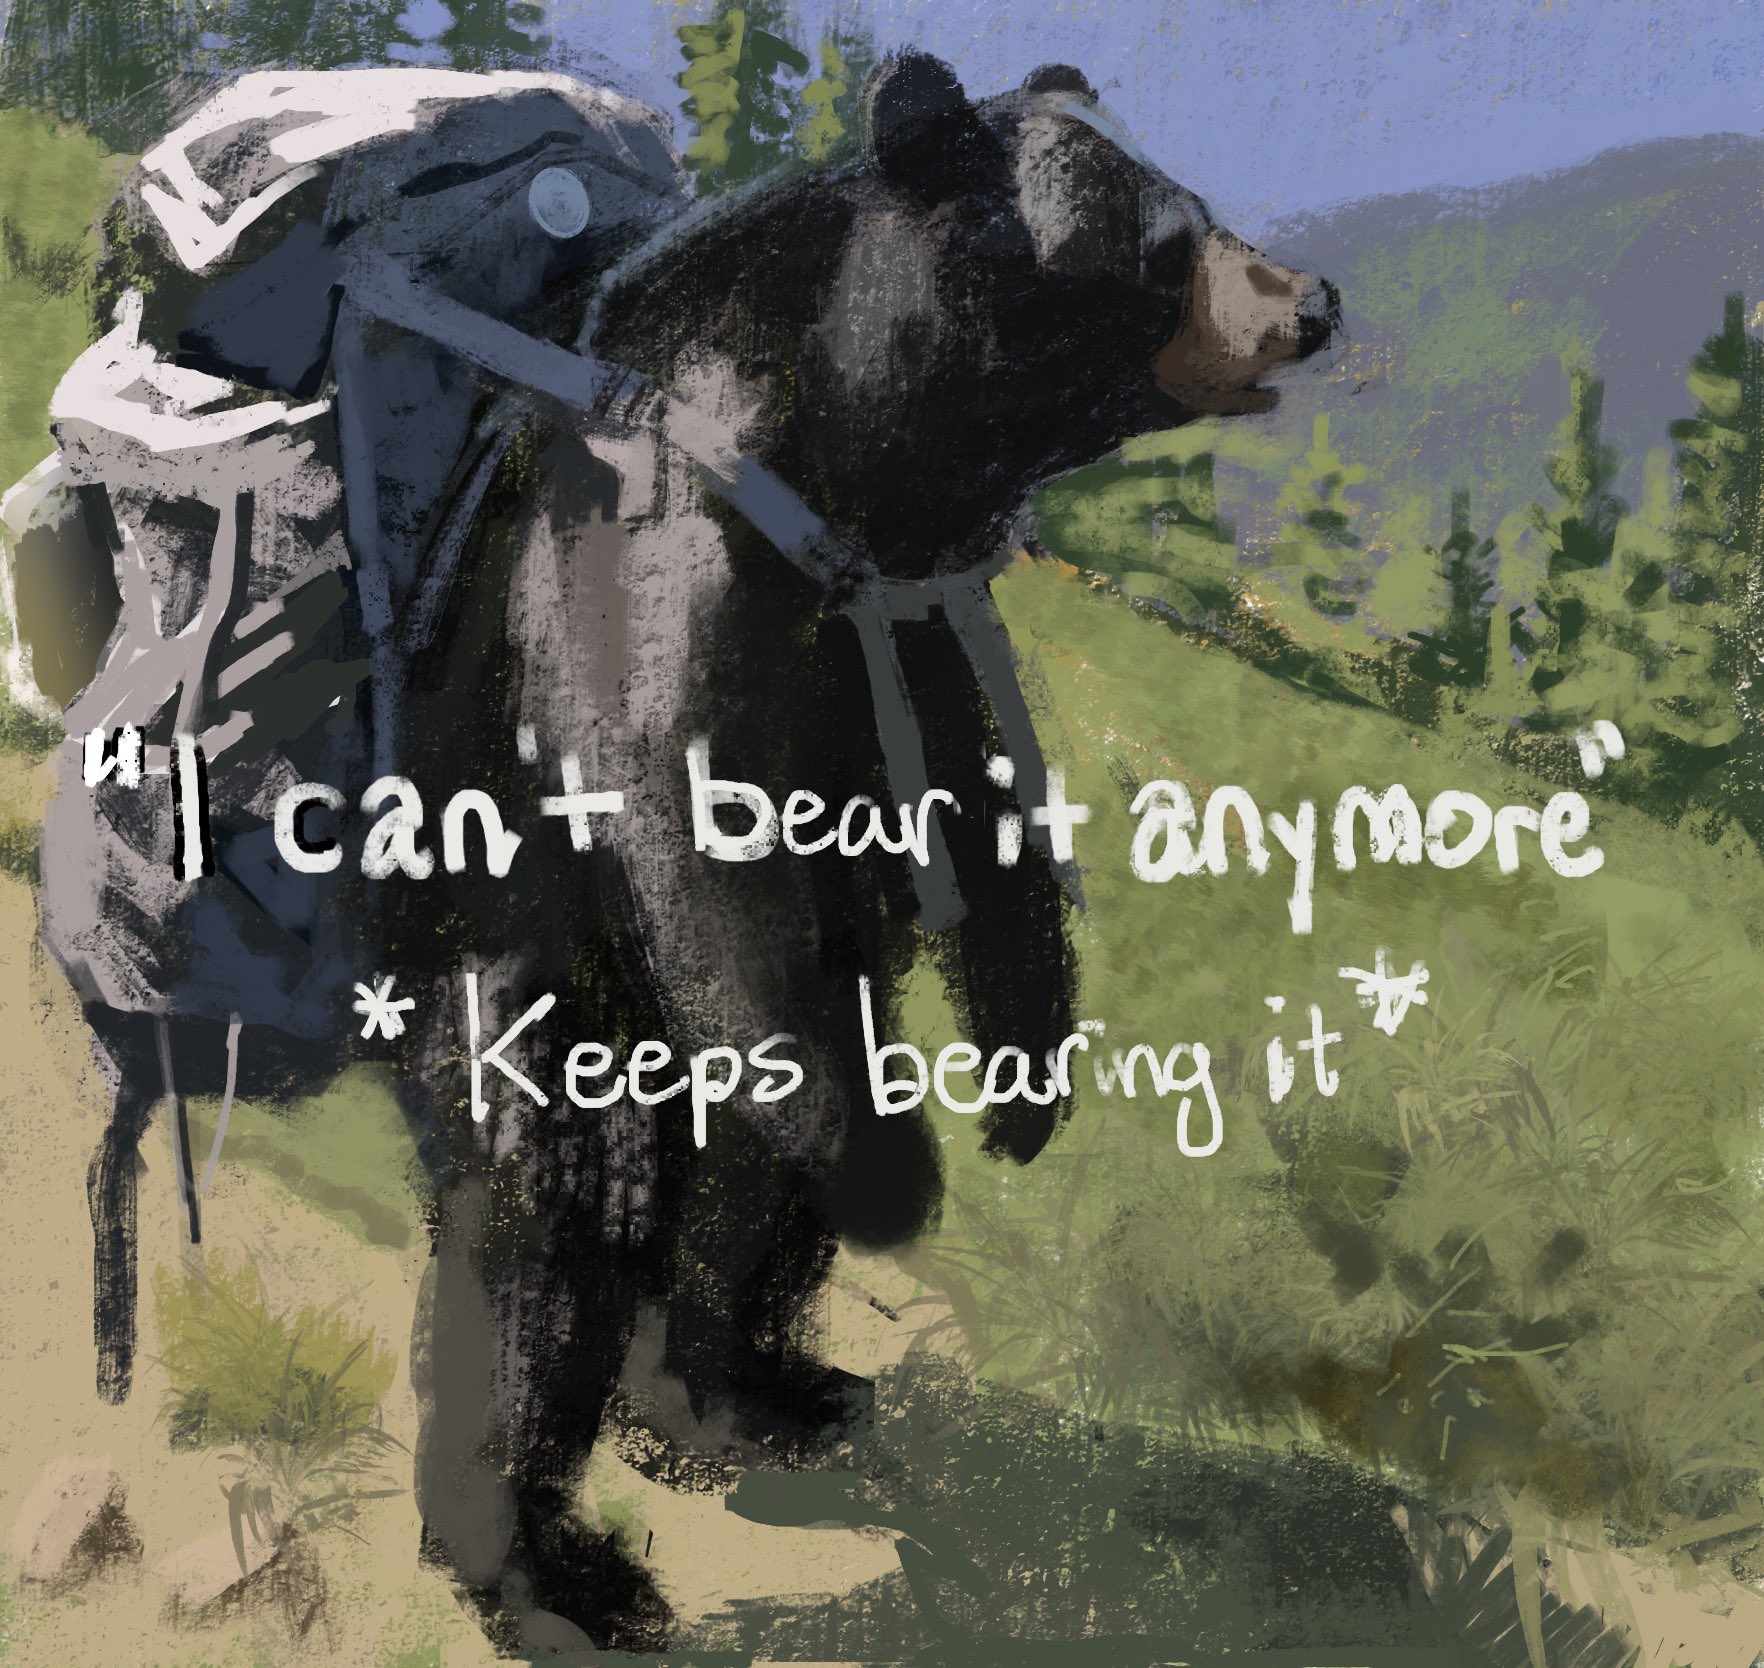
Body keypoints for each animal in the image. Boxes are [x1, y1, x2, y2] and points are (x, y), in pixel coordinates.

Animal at [18, 50, 1336, 1655]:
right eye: (1159, 240)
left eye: (1193, 206)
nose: (1313, 299)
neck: (849, 468)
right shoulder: (653, 555)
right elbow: (686, 829)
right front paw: (899, 1185)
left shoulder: (902, 621)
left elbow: (980, 818)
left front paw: (1024, 1091)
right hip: (512, 984)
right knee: (556, 1225)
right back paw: (553, 1573)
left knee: (733, 1166)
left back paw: (744, 1397)